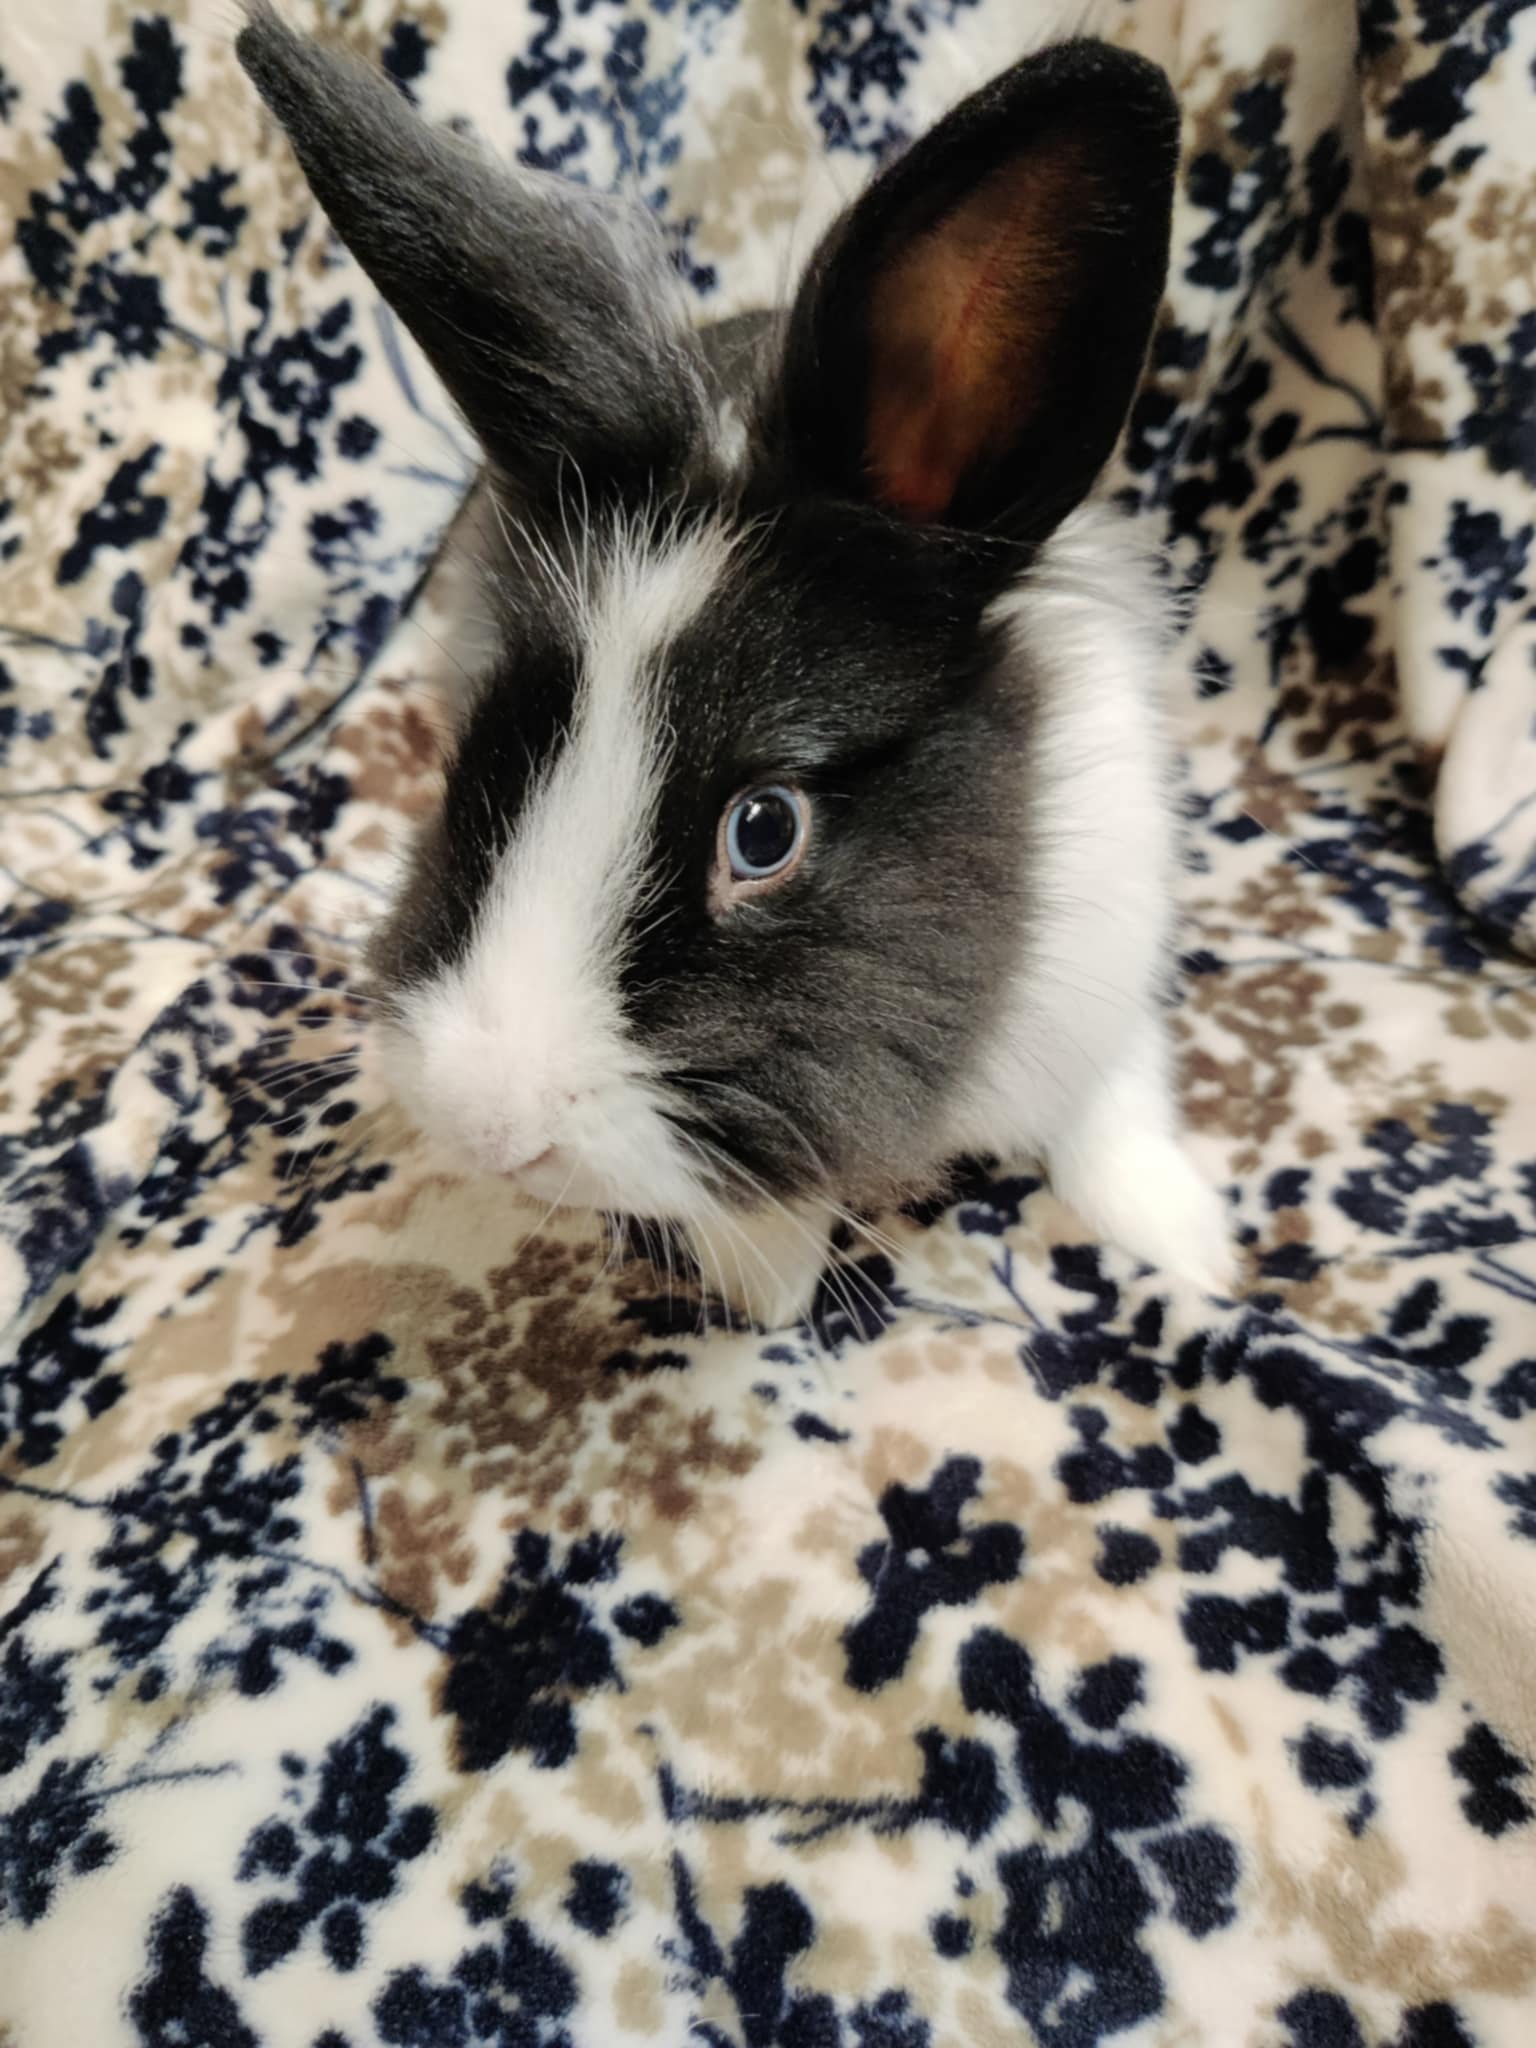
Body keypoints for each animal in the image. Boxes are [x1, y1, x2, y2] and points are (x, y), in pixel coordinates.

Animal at [238, 4, 1232, 1328]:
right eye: (482, 757)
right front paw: (766, 1284)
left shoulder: (1110, 951)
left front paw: (1189, 1243)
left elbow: (1115, 1101)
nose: (486, 1123)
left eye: (766, 831)